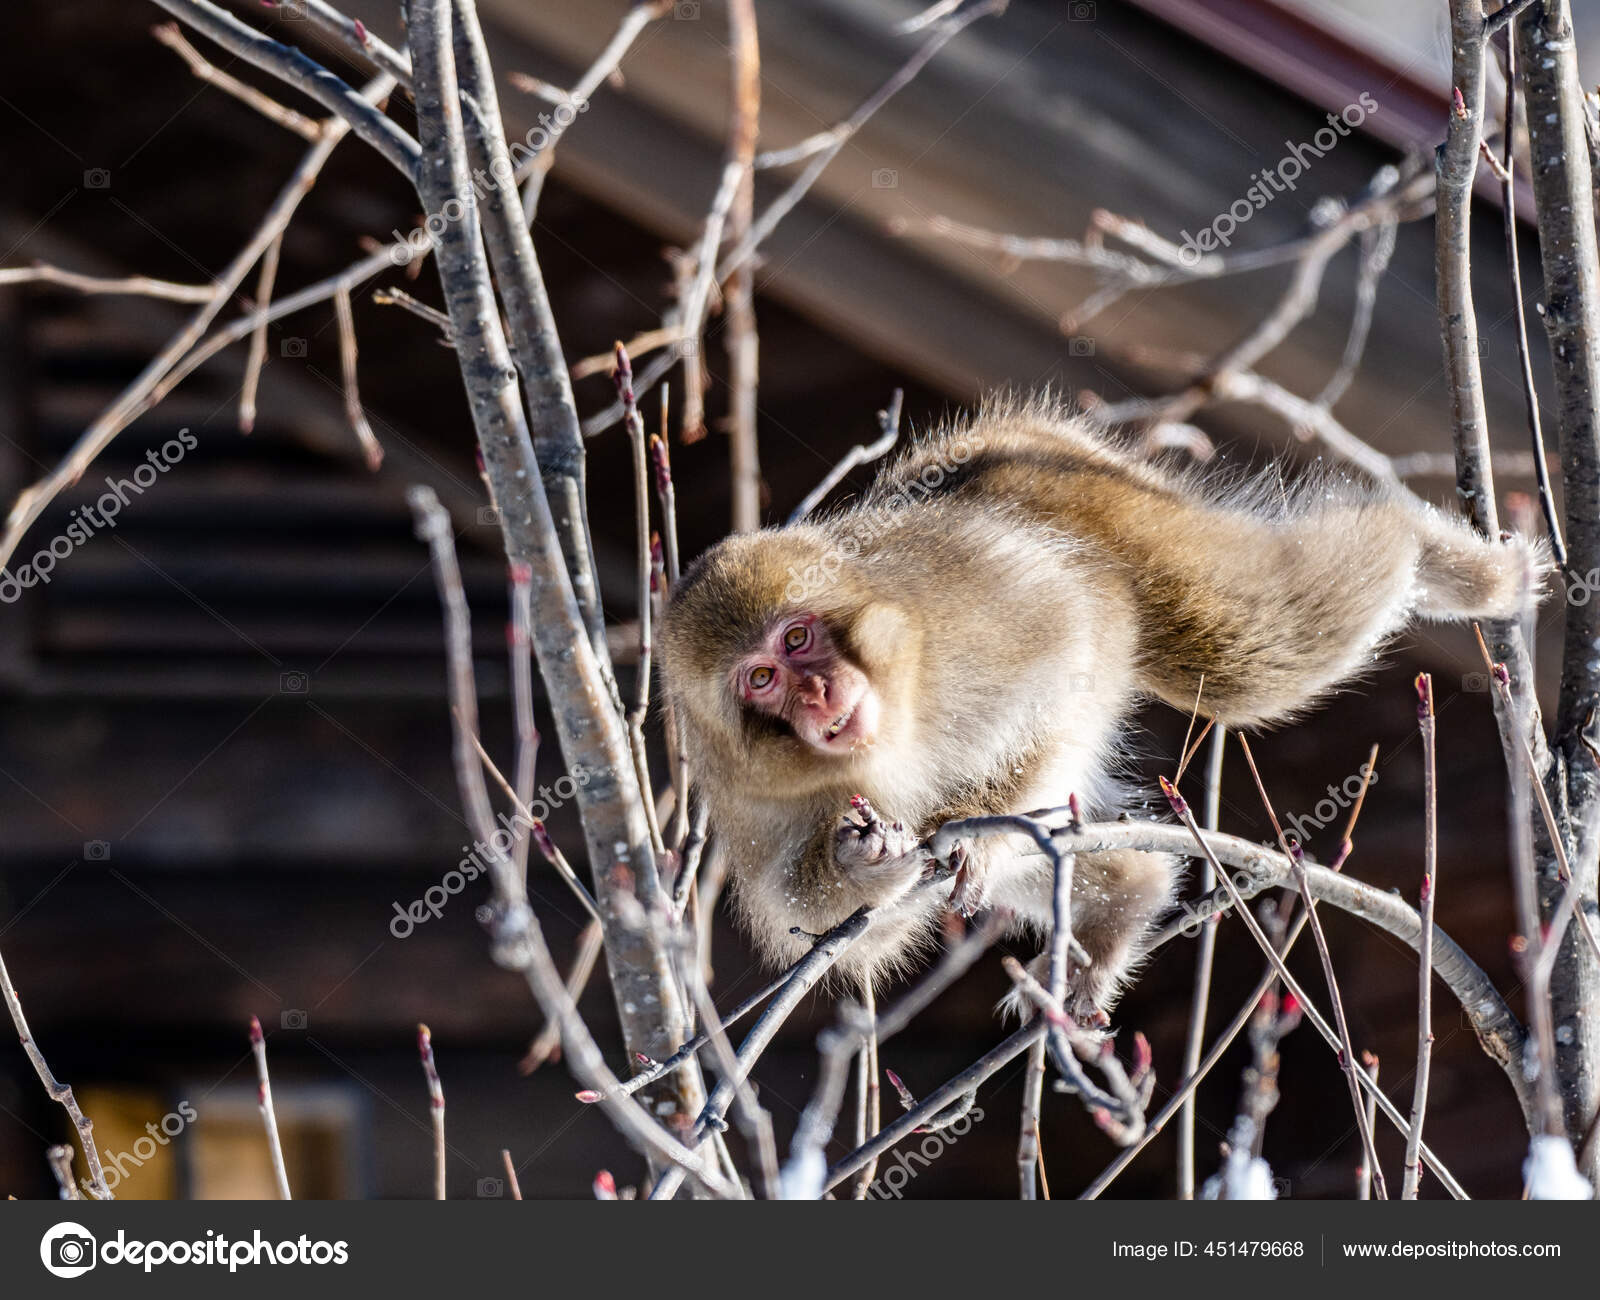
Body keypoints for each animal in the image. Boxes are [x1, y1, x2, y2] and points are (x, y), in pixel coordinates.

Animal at [658, 398, 1544, 1022]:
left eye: (797, 637)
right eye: (759, 679)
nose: (815, 695)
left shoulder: (955, 627)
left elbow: (1070, 636)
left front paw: (974, 836)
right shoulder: (755, 804)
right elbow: (835, 927)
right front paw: (864, 866)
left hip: (1104, 508)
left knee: (1235, 657)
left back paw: (1442, 556)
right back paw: (1125, 903)